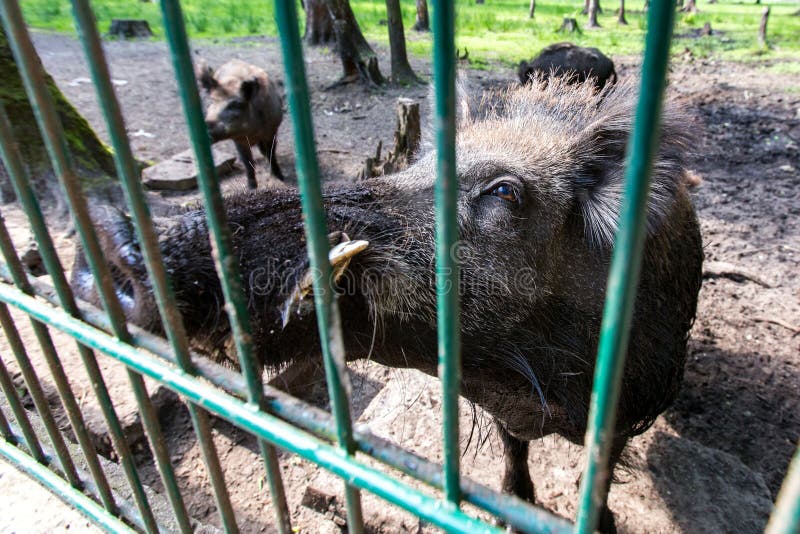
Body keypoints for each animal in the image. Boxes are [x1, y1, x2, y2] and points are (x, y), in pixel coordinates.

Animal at [72, 77, 702, 532]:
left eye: (504, 192)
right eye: (413, 166)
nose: (117, 241)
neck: (527, 385)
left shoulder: (628, 410)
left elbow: (599, 481)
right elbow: (513, 458)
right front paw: (512, 505)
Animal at [198, 59, 284, 188]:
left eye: (236, 104)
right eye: (211, 102)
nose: (207, 126)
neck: (253, 132)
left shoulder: (271, 131)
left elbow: (271, 154)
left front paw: (280, 178)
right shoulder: (239, 140)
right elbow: (247, 161)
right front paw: (251, 188)